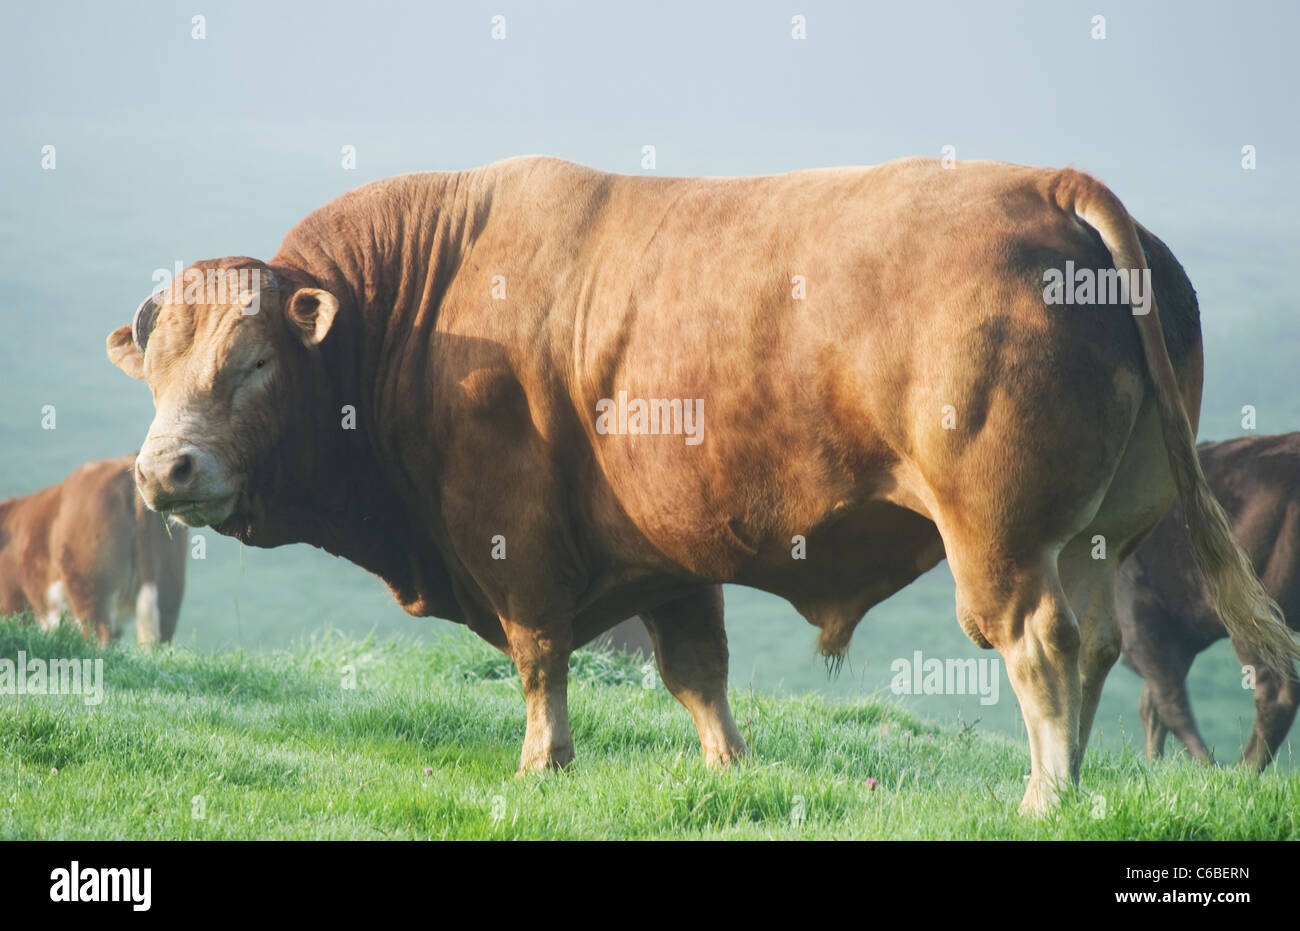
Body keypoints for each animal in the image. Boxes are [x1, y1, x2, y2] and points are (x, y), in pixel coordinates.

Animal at [1119, 432, 1300, 770]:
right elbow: (1152, 706)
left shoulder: (1141, 621)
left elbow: (1168, 702)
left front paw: (1204, 766)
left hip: (1253, 620)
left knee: (1277, 692)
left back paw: (1242, 771)